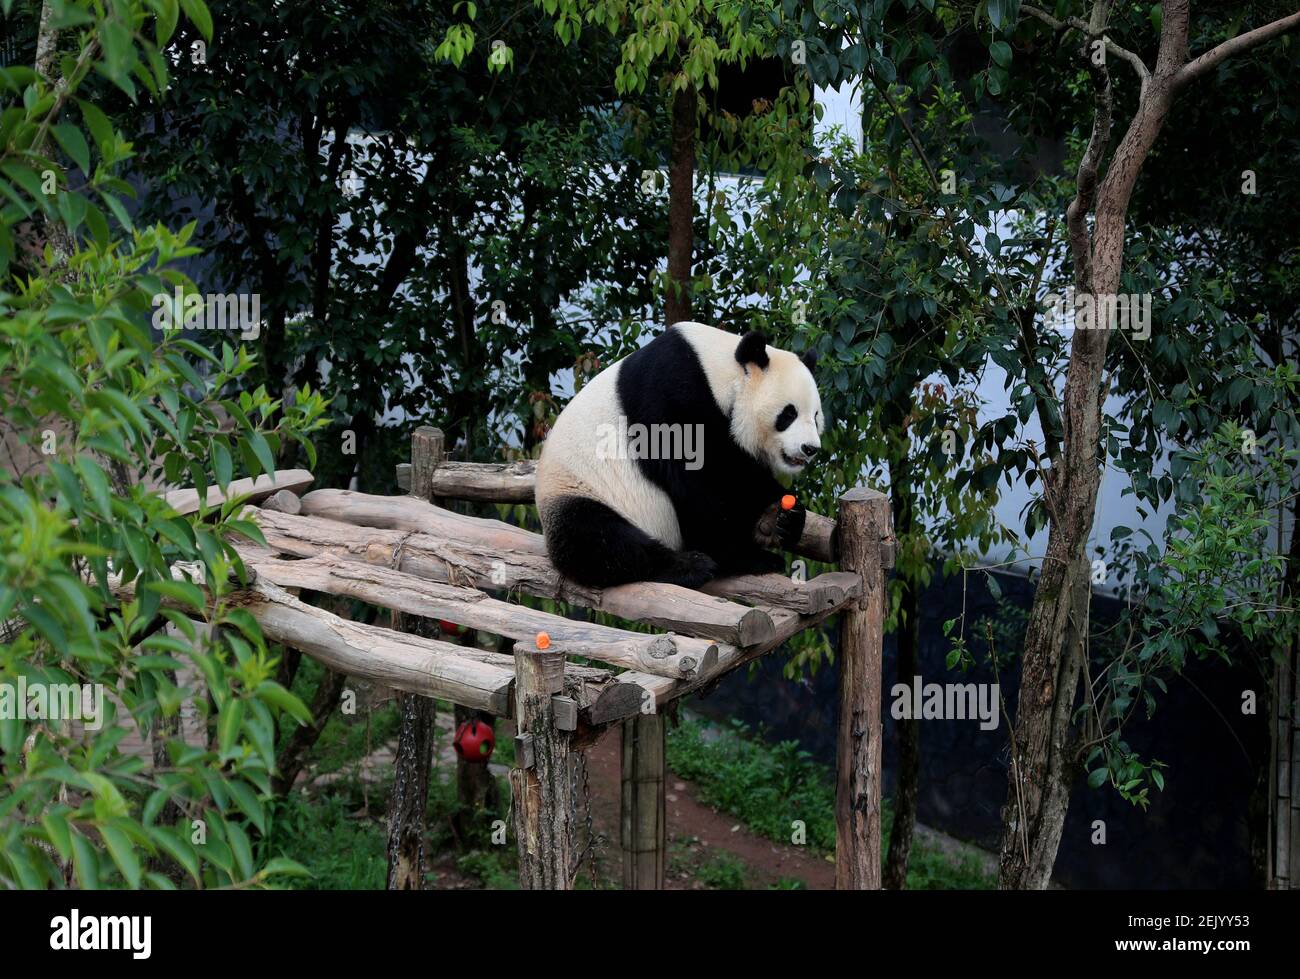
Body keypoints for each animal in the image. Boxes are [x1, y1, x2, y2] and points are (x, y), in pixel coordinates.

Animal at [536, 322, 824, 588]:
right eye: (788, 414)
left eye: (815, 415)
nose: (810, 448)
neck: (717, 372)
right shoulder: (672, 397)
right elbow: (702, 480)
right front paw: (745, 555)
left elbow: (739, 470)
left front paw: (777, 518)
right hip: (579, 487)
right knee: (597, 537)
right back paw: (689, 566)